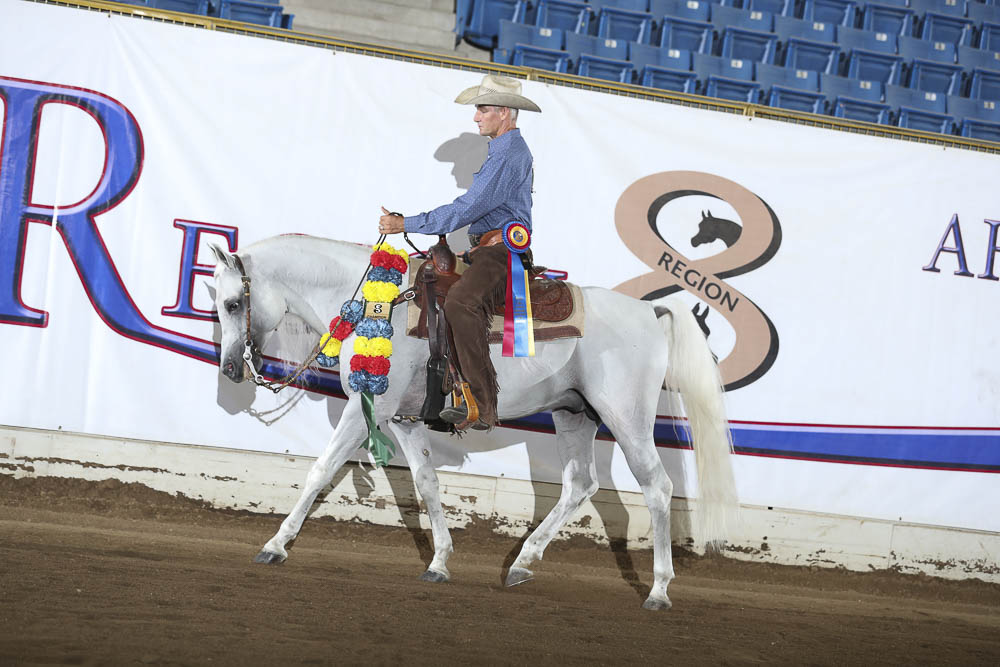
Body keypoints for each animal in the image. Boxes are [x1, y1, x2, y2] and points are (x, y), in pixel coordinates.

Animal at [210, 234, 737, 611]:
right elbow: (426, 483)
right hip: (575, 414)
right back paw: (523, 563)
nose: (232, 368)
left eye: (234, 303)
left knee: (657, 488)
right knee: (579, 485)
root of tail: (650, 309)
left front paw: (275, 545)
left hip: (626, 416)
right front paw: (440, 562)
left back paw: (659, 591)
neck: (377, 305)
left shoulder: (367, 408)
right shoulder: (404, 419)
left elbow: (320, 470)